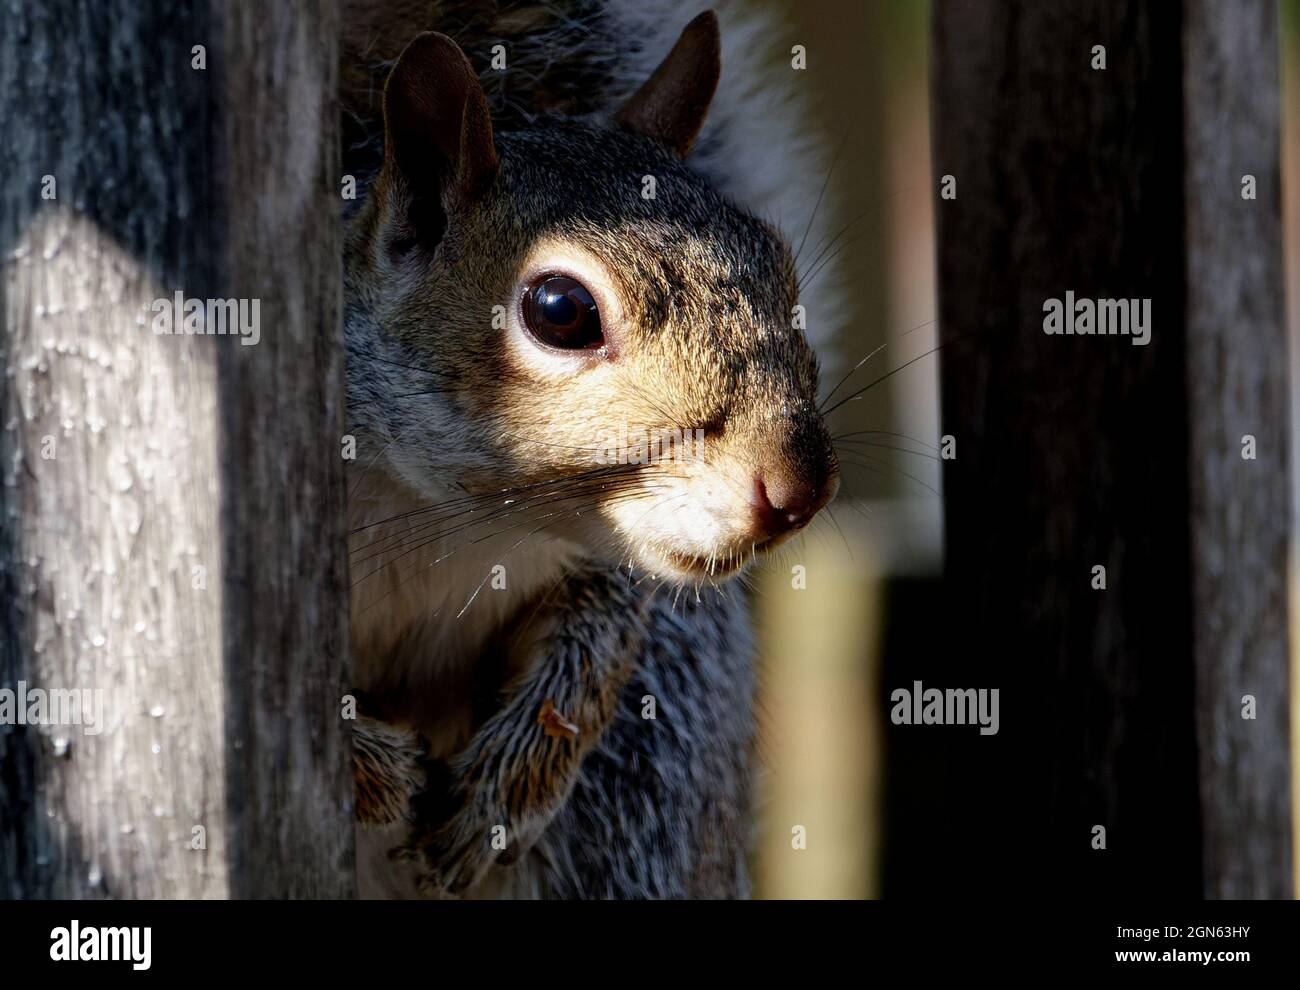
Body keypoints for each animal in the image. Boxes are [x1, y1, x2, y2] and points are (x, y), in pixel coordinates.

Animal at [340, 0, 842, 898]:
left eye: (782, 267)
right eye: (560, 311)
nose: (797, 489)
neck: (455, 525)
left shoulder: (603, 566)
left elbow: (598, 642)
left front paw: (512, 780)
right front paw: (372, 772)